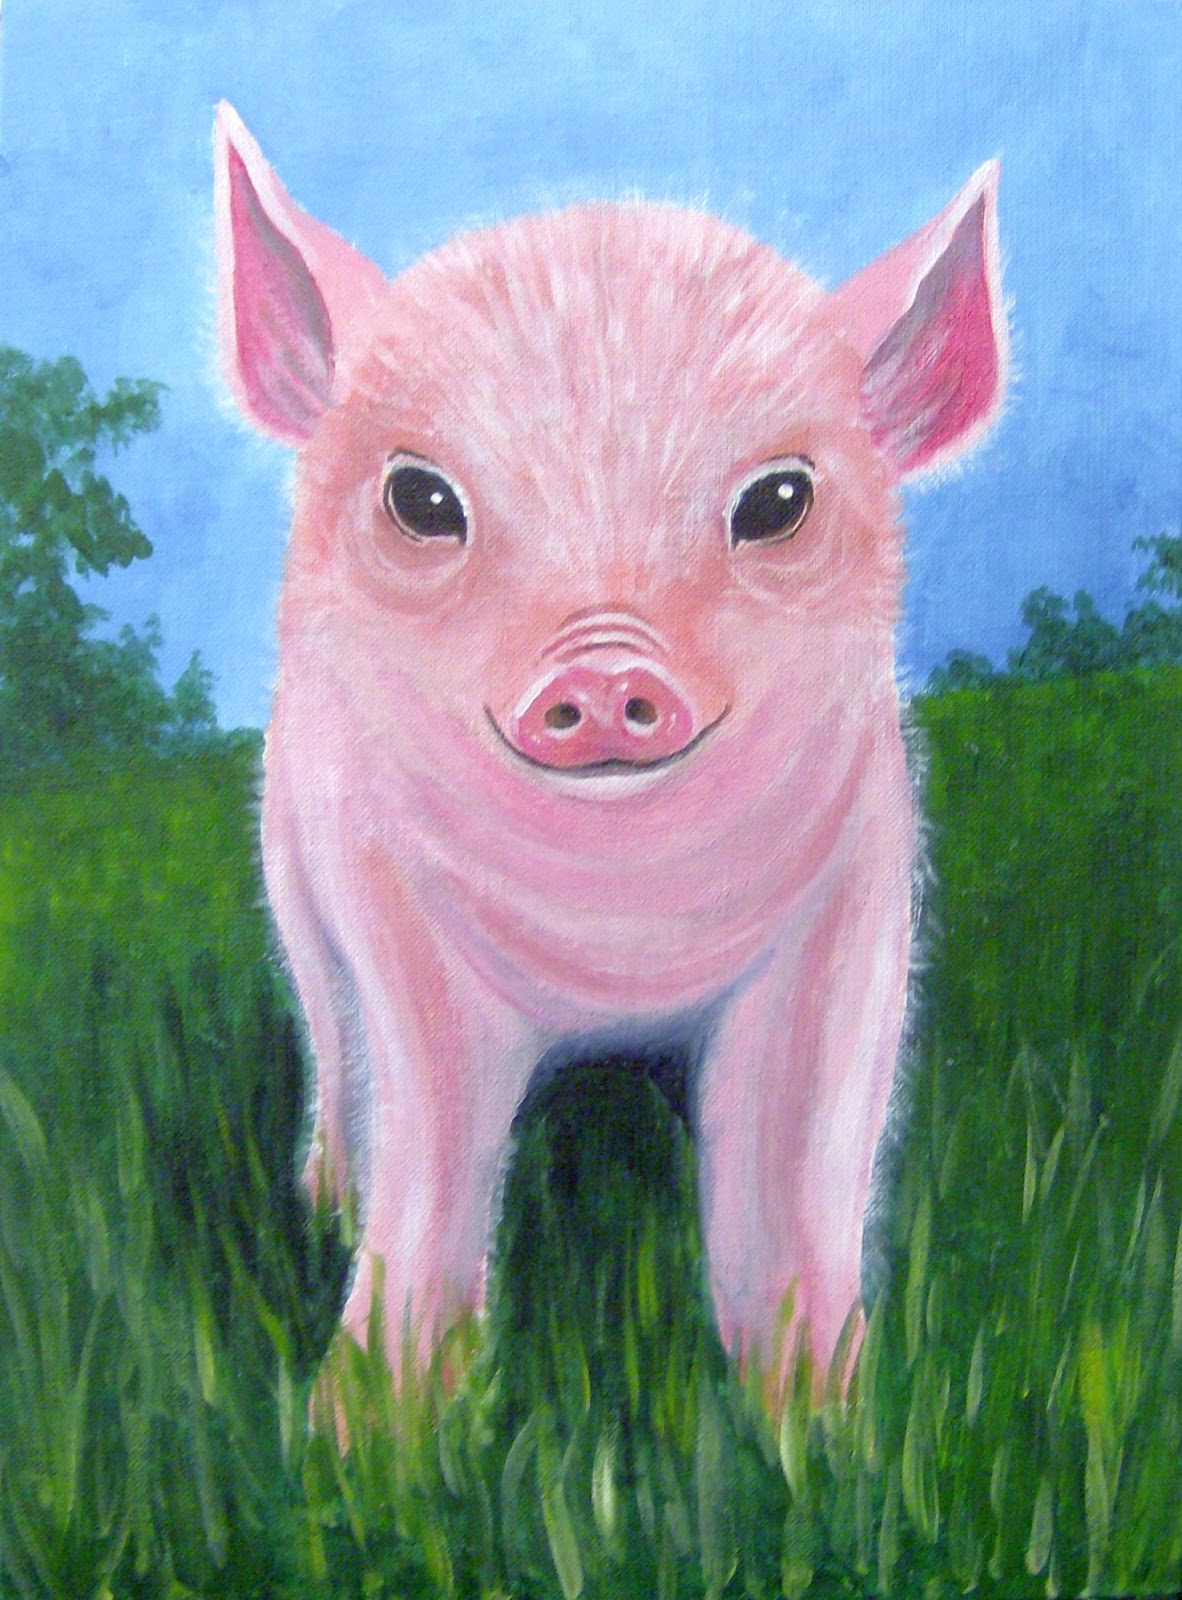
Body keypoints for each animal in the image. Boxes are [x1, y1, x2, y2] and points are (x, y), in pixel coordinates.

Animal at [213, 101, 1007, 1387]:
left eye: (778, 501)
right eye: (422, 500)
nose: (600, 670)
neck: (622, 935)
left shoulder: (861, 895)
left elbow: (794, 1165)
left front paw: (824, 1412)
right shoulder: (384, 899)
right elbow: (431, 1144)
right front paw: (374, 1419)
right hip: (288, 866)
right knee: (332, 1040)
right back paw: (326, 1197)